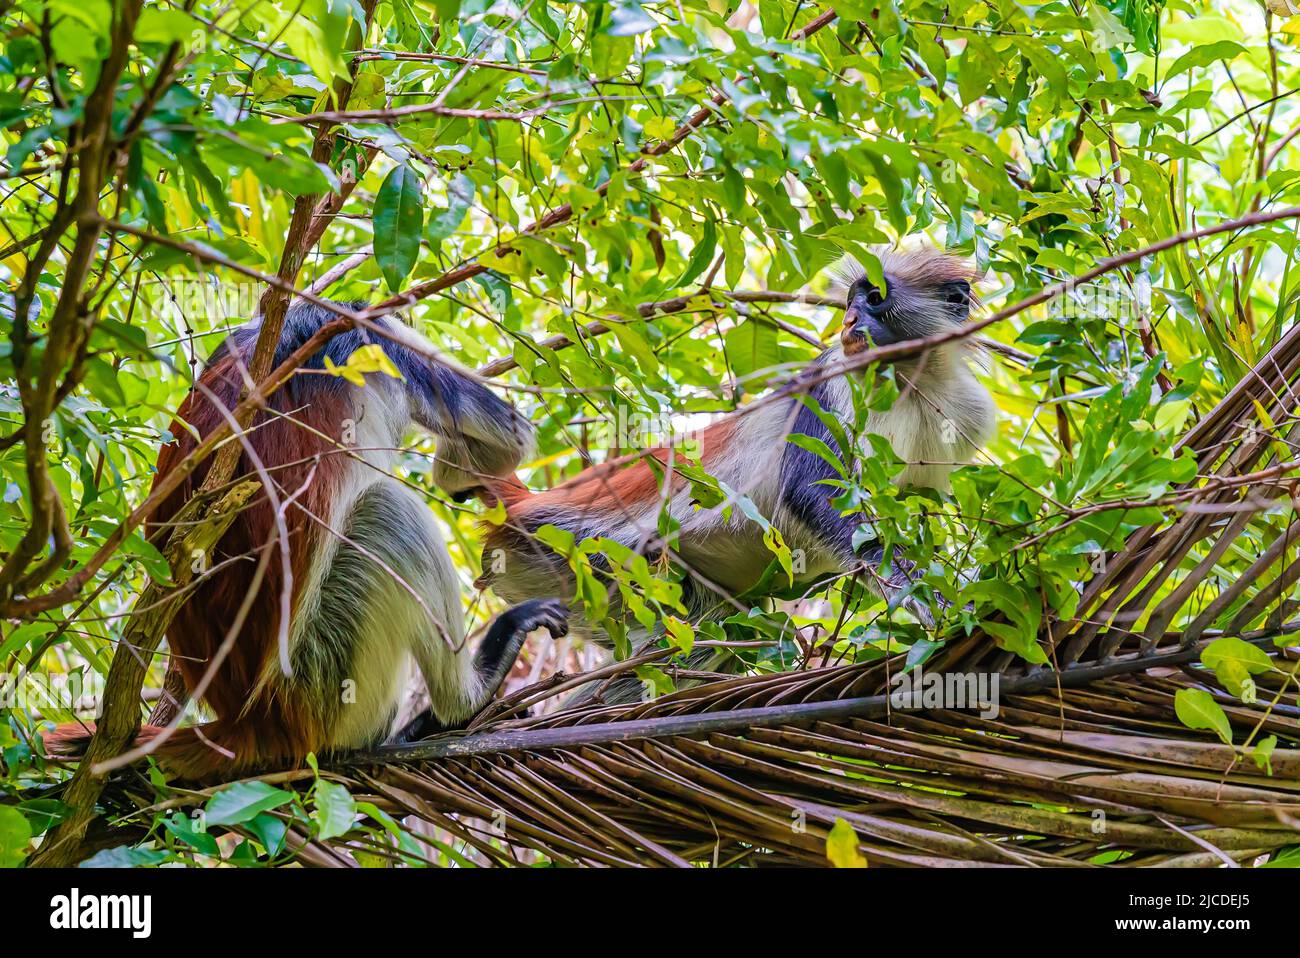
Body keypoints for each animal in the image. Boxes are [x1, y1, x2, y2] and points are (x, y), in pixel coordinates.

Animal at [46, 301, 568, 778]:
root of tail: (251, 724)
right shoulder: (377, 336)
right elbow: (509, 440)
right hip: (326, 685)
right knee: (387, 512)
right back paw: (465, 699)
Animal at [473, 247, 995, 700]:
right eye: (851, 299)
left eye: (874, 297)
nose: (849, 319)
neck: (910, 376)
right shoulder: (833, 378)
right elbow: (812, 494)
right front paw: (956, 609)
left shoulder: (966, 414)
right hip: (578, 551)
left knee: (690, 640)